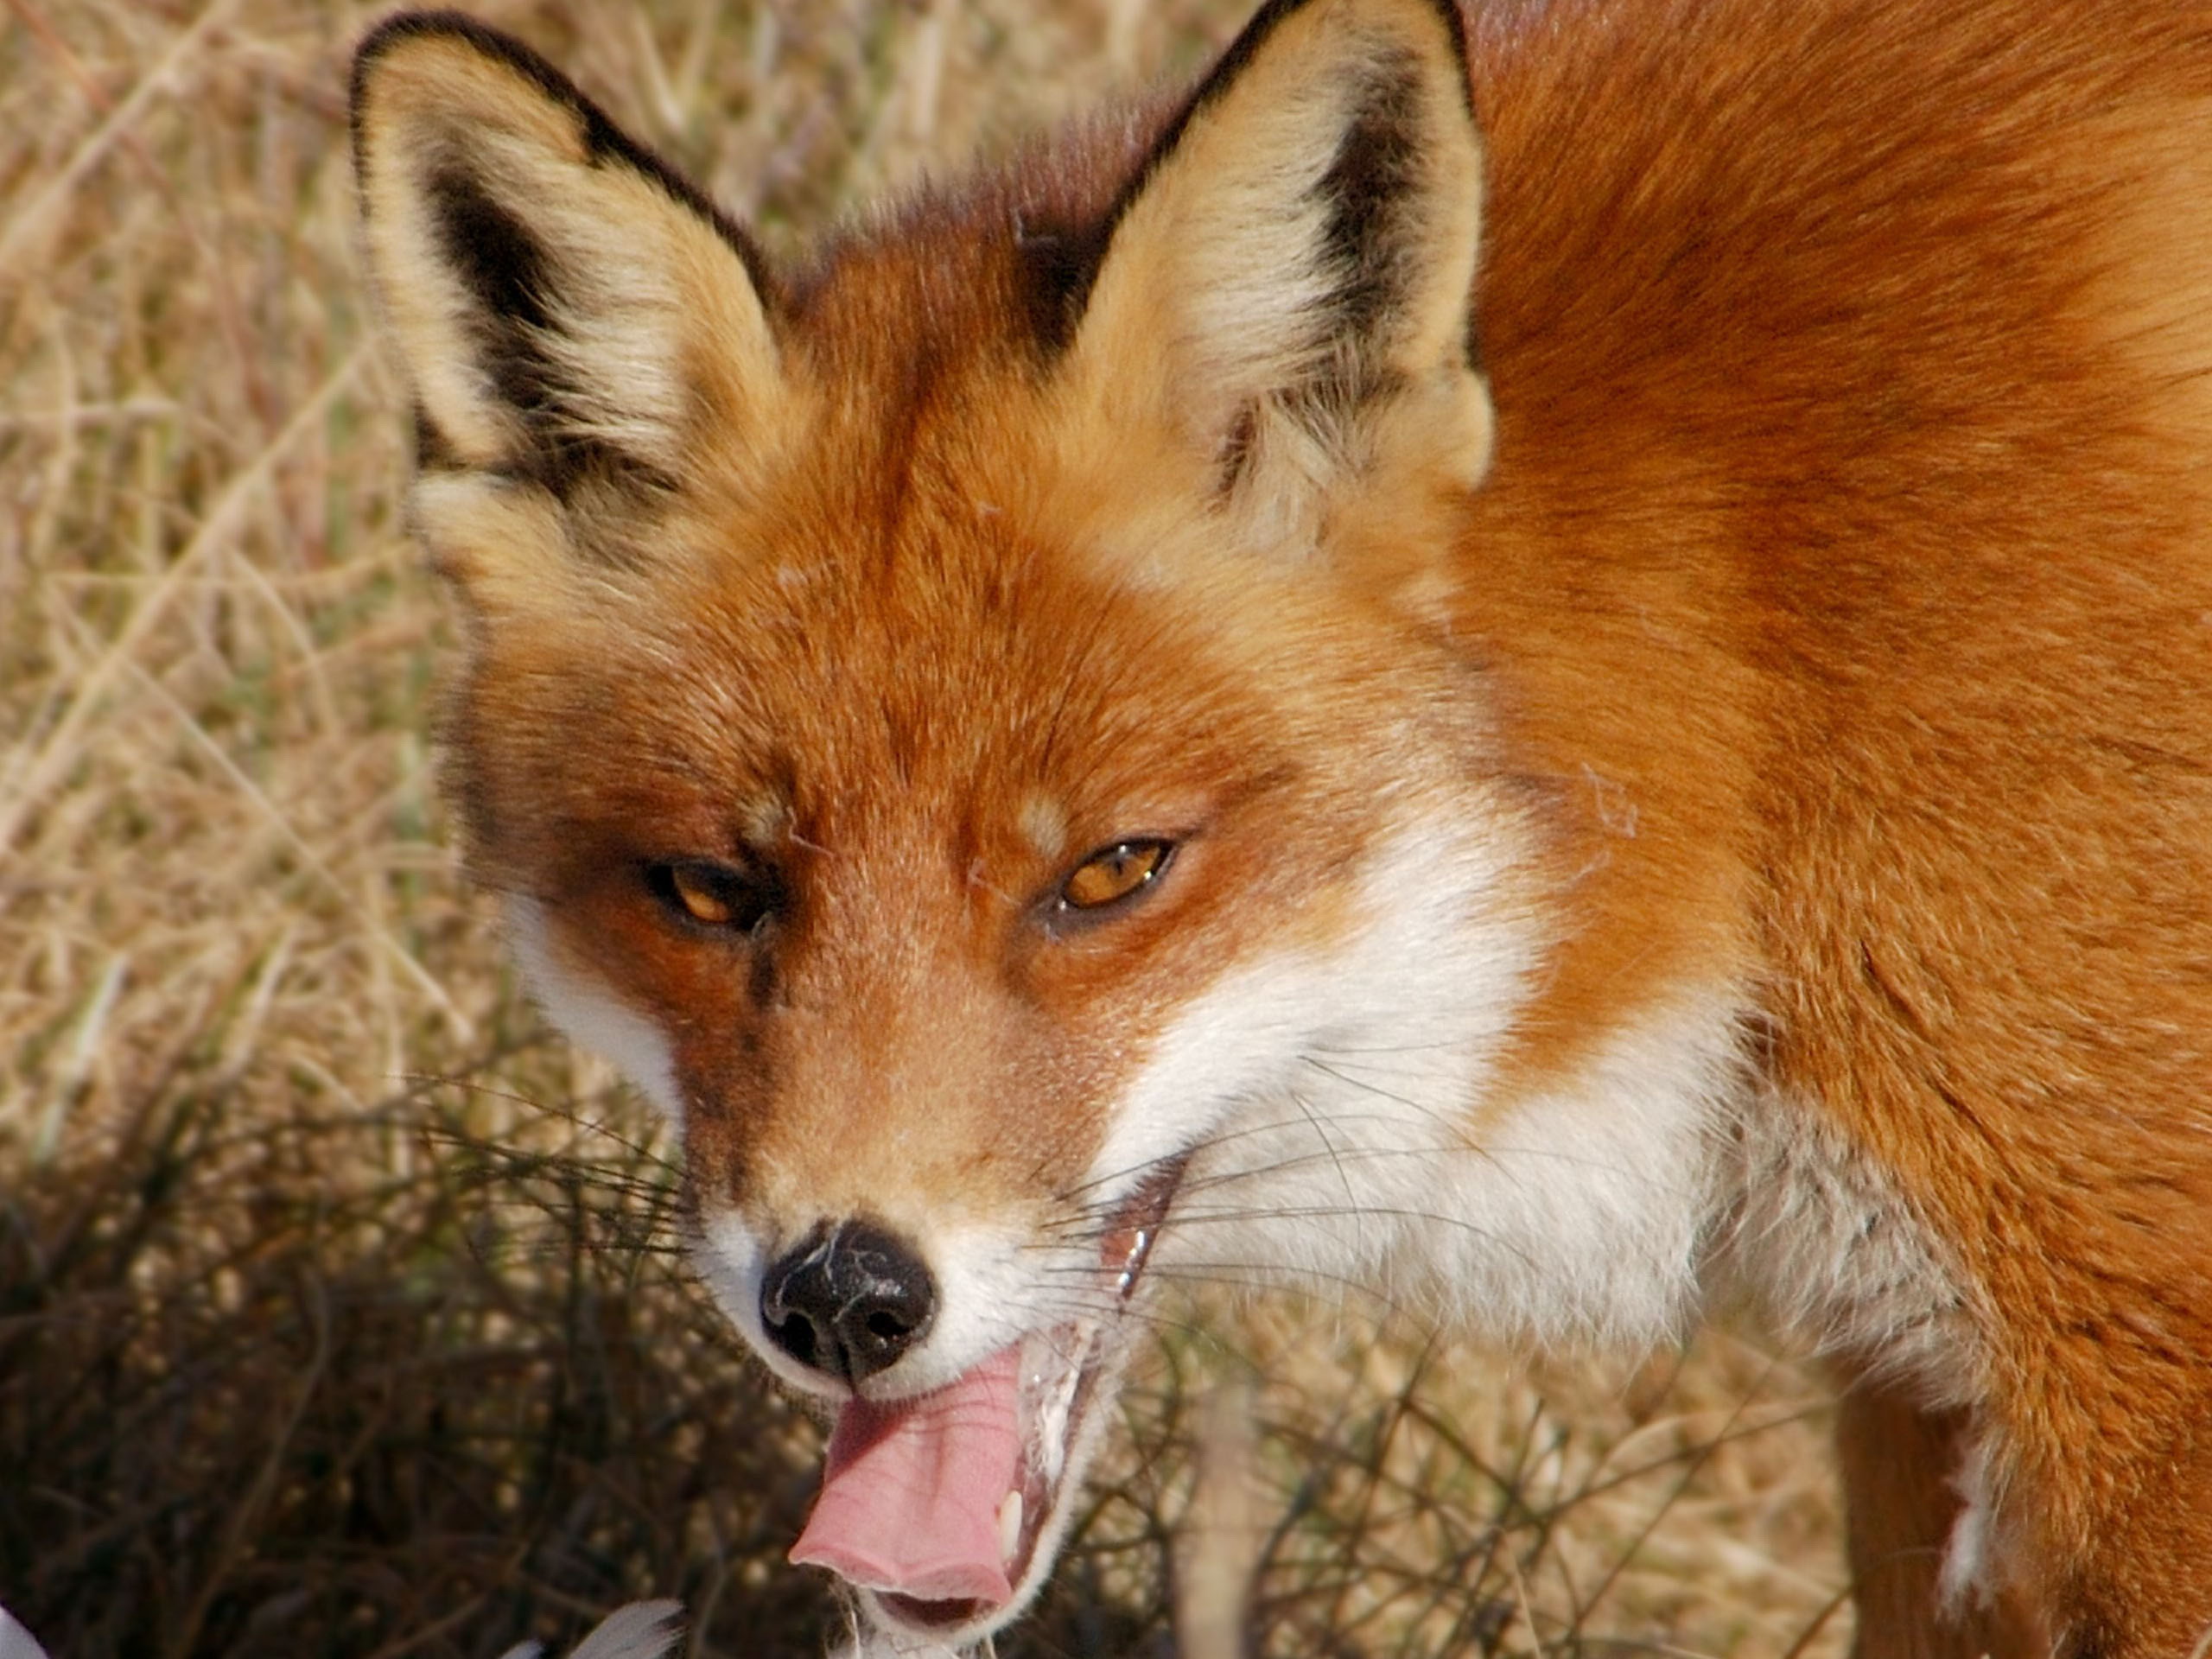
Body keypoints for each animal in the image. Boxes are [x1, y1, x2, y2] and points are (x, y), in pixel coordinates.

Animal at [350, 0, 2212, 1651]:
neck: (1748, 637)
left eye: (1112, 872)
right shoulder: (1907, 1379)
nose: (843, 1301)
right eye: (709, 889)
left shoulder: (2133, 1362)